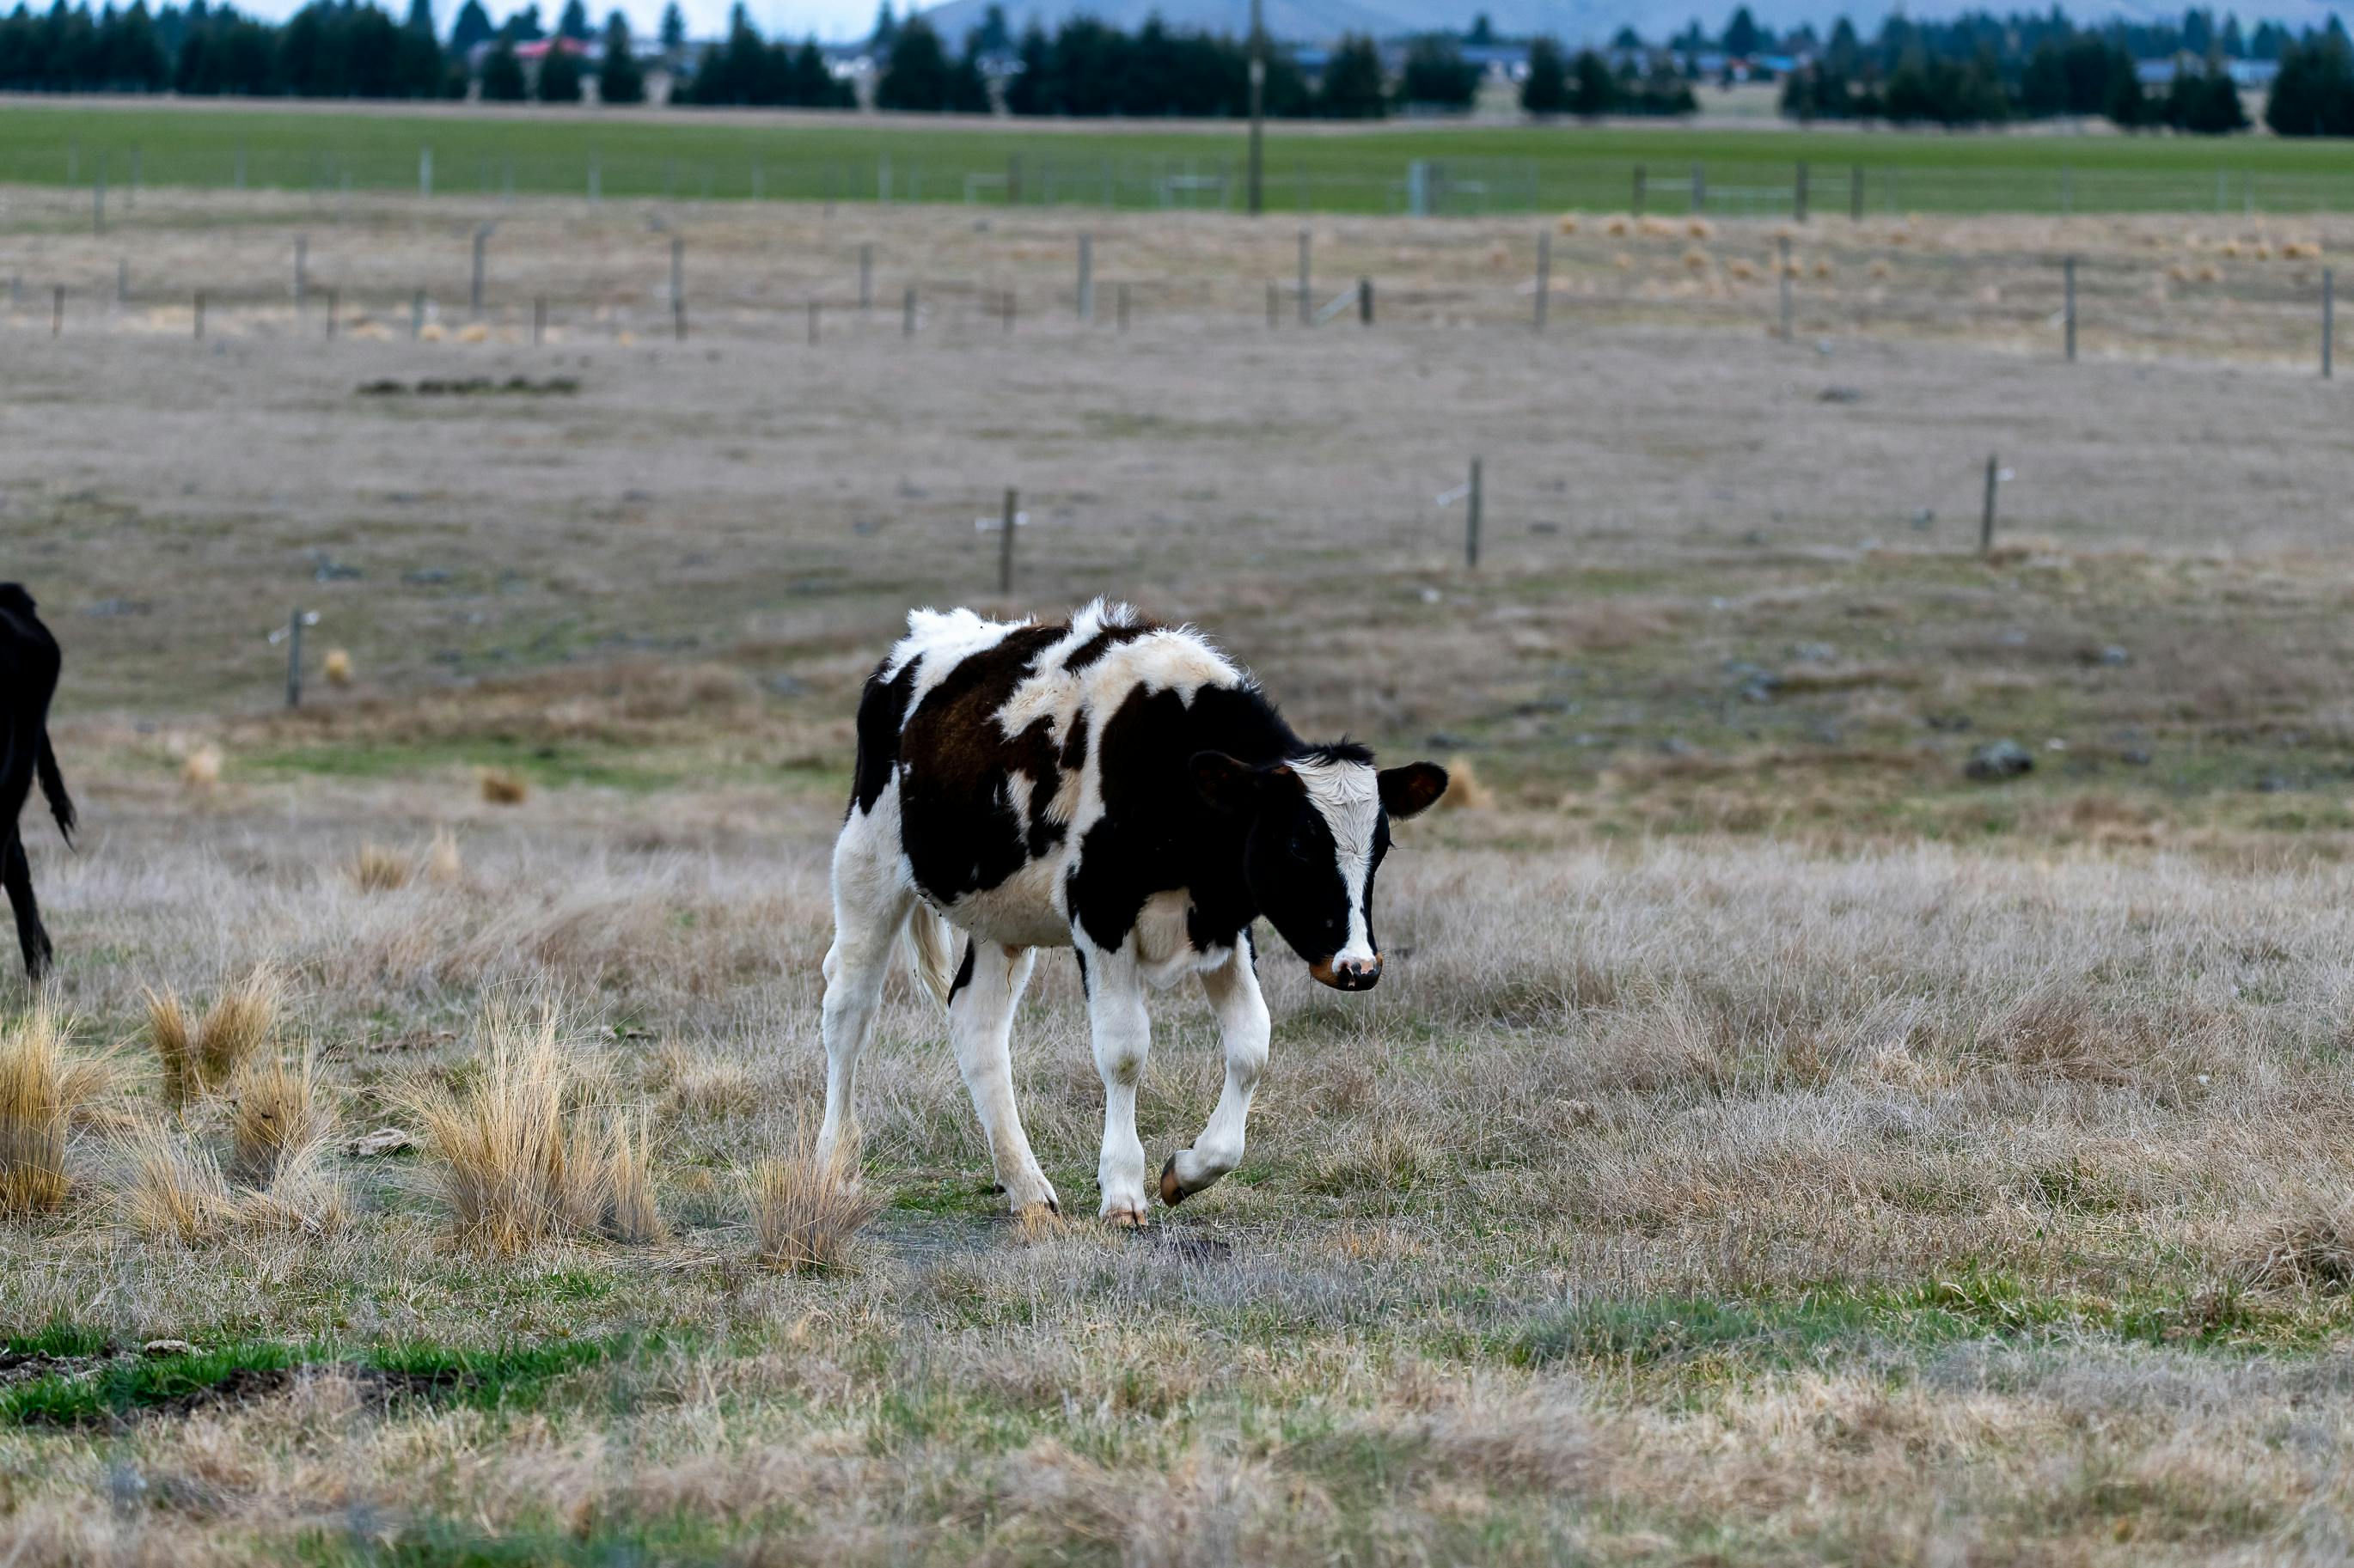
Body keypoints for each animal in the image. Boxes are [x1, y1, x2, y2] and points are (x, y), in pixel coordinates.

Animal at [816, 600, 1447, 1226]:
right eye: (1297, 843)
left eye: (1382, 846)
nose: (1358, 967)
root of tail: (920, 638)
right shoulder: (1100, 913)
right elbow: (1123, 1050)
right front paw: (1121, 1189)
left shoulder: (1225, 922)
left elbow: (1251, 1045)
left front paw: (1188, 1171)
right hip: (865, 865)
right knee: (849, 1010)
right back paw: (833, 1166)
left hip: (1000, 918)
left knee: (976, 1024)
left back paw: (1027, 1187)